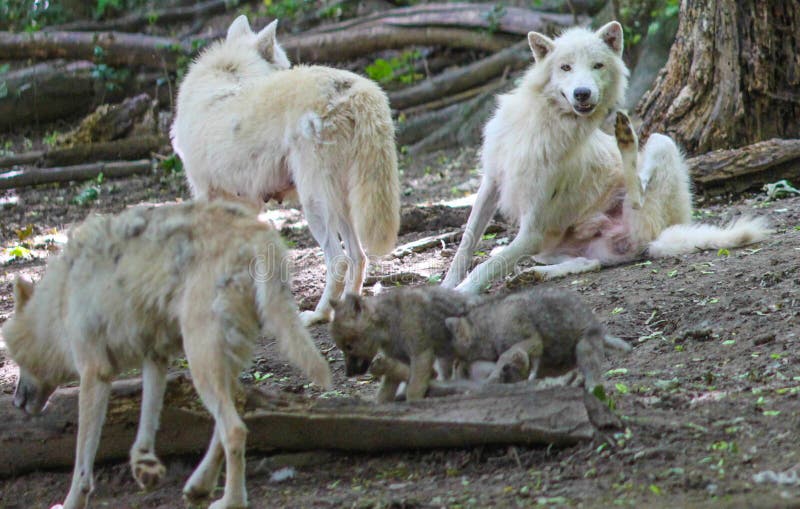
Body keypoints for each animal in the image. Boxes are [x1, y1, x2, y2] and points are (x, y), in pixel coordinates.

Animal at [2, 201, 332, 509]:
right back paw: (200, 485)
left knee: (235, 430)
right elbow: (147, 424)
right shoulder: (155, 358)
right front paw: (144, 466)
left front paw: (71, 502)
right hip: (220, 361)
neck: (59, 302)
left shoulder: (94, 373)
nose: (16, 402)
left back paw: (231, 500)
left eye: (16, 361)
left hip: (200, 359)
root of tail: (257, 231)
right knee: (234, 414)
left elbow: (83, 458)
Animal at [172, 16, 400, 325]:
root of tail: (357, 89)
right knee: (358, 256)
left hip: (314, 205)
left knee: (339, 260)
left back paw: (318, 315)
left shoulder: (208, 196)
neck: (231, 73)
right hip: (340, 202)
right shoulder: (247, 205)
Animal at [441, 21, 771, 293]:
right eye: (565, 67)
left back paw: (626, 136)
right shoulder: (492, 182)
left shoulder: (533, 228)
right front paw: (445, 287)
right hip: (552, 247)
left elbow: (484, 267)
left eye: (597, 66)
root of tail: (659, 238)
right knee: (589, 263)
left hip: (661, 145)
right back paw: (533, 275)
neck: (546, 124)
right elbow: (466, 245)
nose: (582, 93)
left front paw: (460, 294)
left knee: (638, 189)